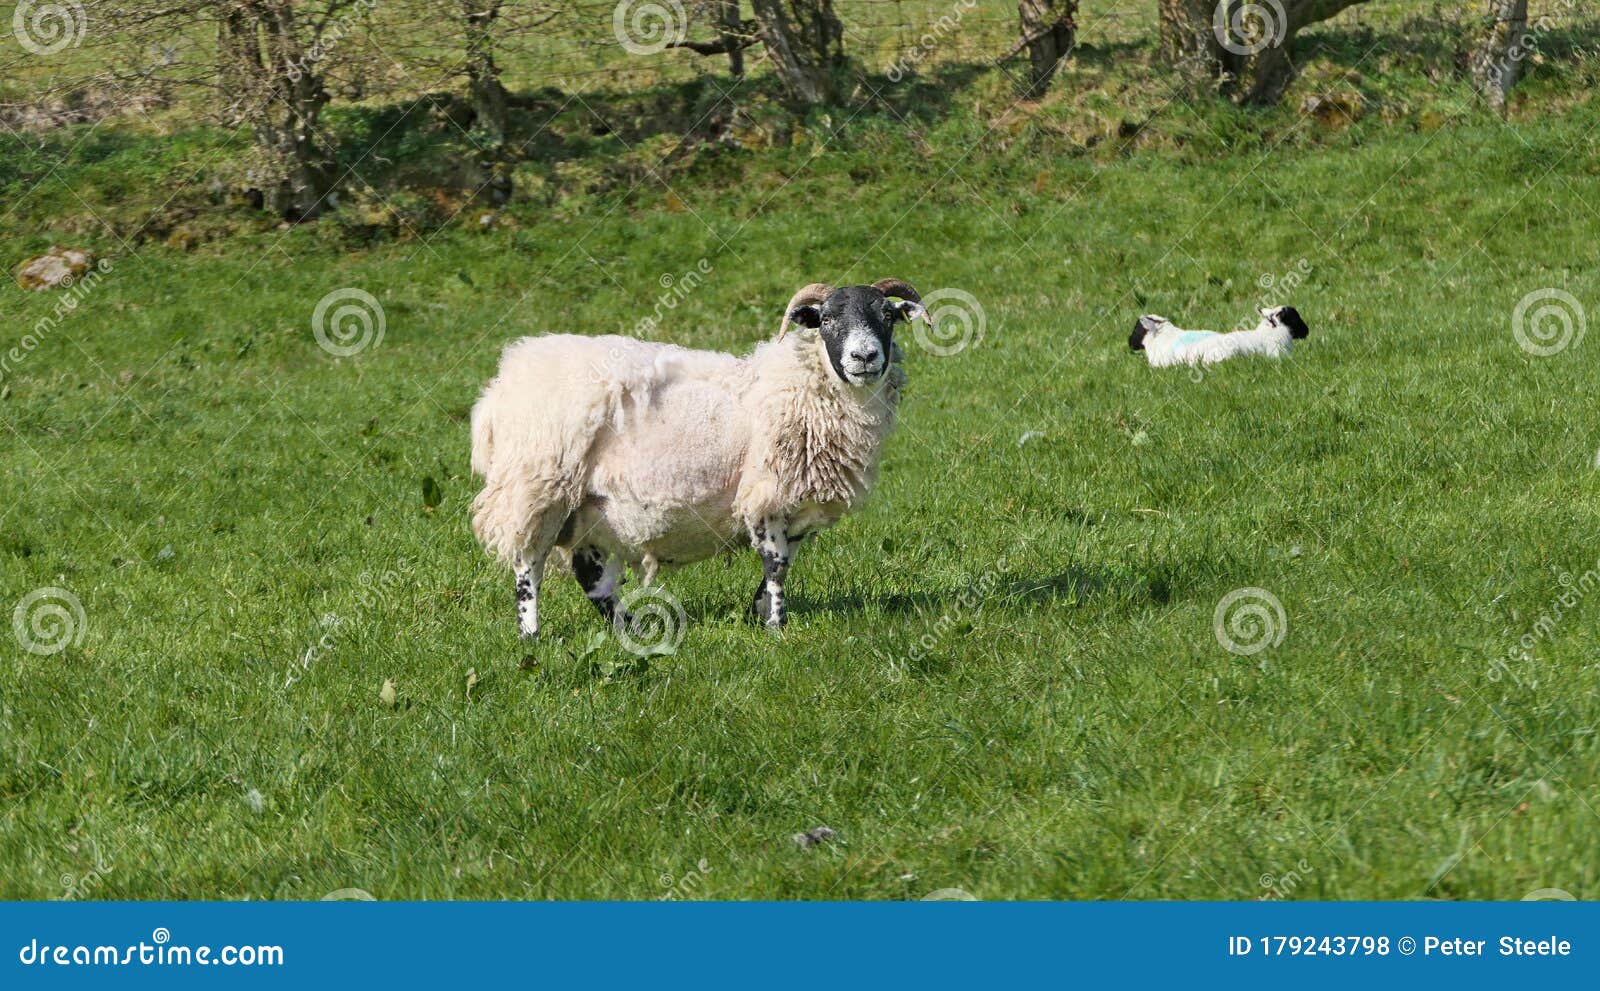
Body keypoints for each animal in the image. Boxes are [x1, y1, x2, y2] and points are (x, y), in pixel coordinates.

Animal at [469, 278, 928, 641]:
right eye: (827, 319)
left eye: (888, 316)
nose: (864, 357)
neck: (800, 384)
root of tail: (502, 384)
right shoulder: (764, 492)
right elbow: (776, 565)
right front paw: (776, 628)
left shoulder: (798, 505)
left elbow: (781, 566)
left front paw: (759, 613)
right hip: (536, 486)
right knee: (528, 564)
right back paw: (531, 635)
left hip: (588, 508)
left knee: (591, 577)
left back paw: (629, 628)